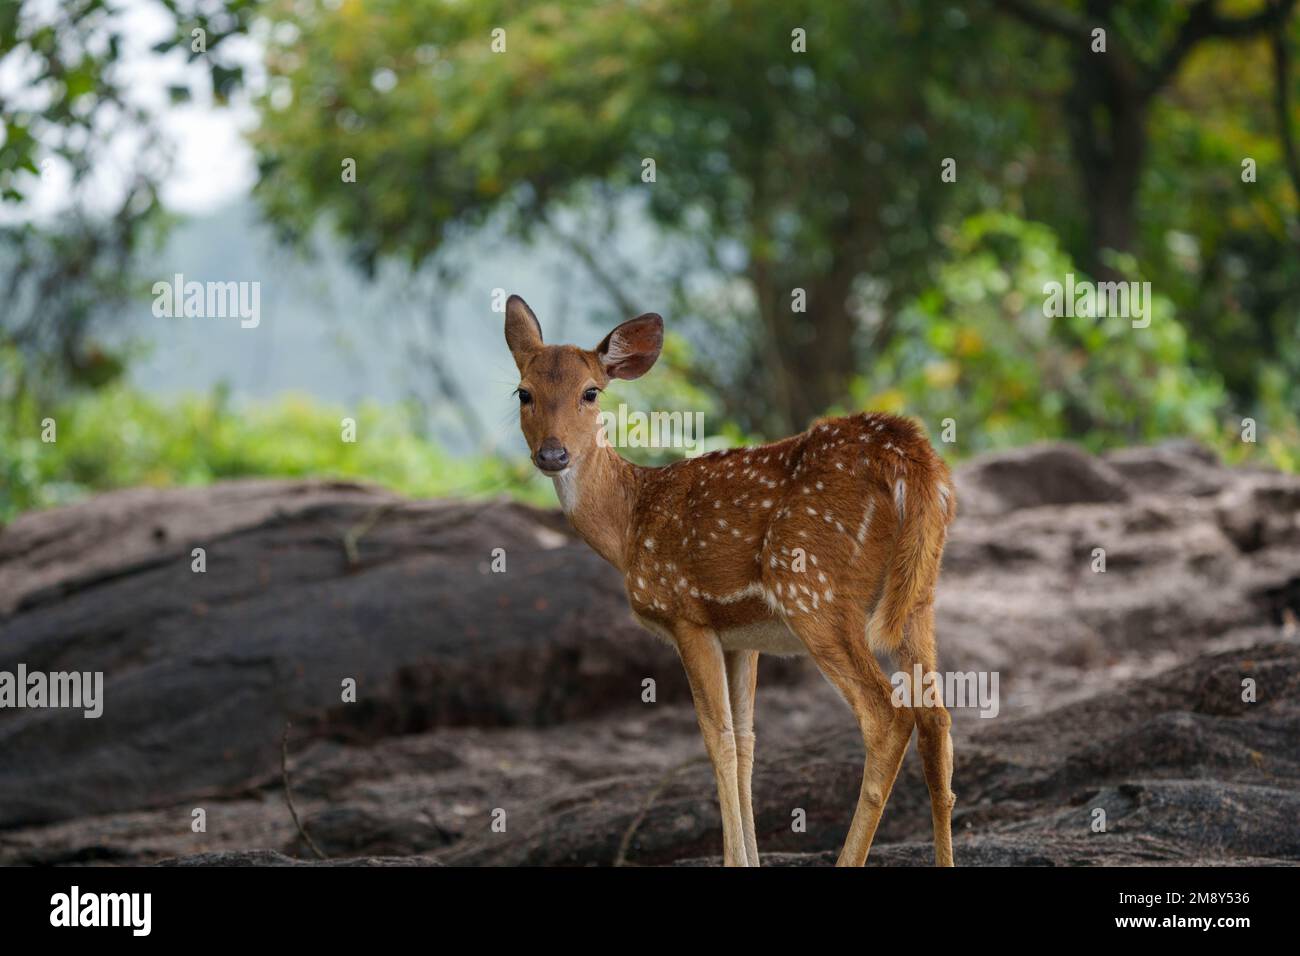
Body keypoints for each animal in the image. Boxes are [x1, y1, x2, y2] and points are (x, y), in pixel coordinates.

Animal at [504, 294, 957, 867]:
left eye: (591, 392)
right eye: (524, 392)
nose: (553, 454)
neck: (630, 524)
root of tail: (912, 461)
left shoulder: (686, 614)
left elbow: (716, 738)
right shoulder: (743, 636)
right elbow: (746, 742)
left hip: (813, 589)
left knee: (888, 716)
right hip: (919, 594)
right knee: (936, 719)